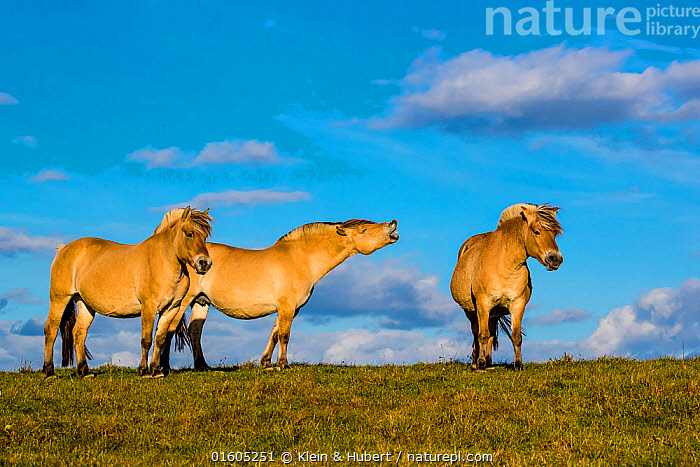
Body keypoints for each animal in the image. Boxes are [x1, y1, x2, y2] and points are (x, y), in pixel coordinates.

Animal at [42, 207, 213, 379]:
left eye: (204, 237)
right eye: (189, 234)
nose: (205, 263)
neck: (163, 262)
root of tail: (64, 248)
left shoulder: (170, 309)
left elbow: (160, 339)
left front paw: (156, 371)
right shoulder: (148, 307)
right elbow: (146, 339)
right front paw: (144, 371)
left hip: (85, 304)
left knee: (79, 333)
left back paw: (85, 372)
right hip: (59, 299)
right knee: (51, 330)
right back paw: (49, 372)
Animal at [160, 218, 399, 371]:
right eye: (363, 230)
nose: (393, 223)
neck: (302, 258)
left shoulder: (291, 309)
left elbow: (274, 334)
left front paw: (266, 363)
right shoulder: (287, 305)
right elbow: (284, 335)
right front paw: (283, 365)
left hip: (201, 302)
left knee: (194, 332)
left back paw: (202, 366)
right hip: (183, 302)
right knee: (169, 328)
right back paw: (164, 366)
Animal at [450, 203, 563, 371]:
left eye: (554, 234)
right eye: (536, 231)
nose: (556, 259)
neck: (504, 264)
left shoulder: (517, 304)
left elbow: (515, 336)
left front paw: (518, 365)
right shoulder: (483, 304)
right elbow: (482, 335)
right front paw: (480, 364)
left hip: (494, 313)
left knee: (490, 332)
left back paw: (489, 363)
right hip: (471, 311)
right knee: (476, 332)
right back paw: (476, 363)